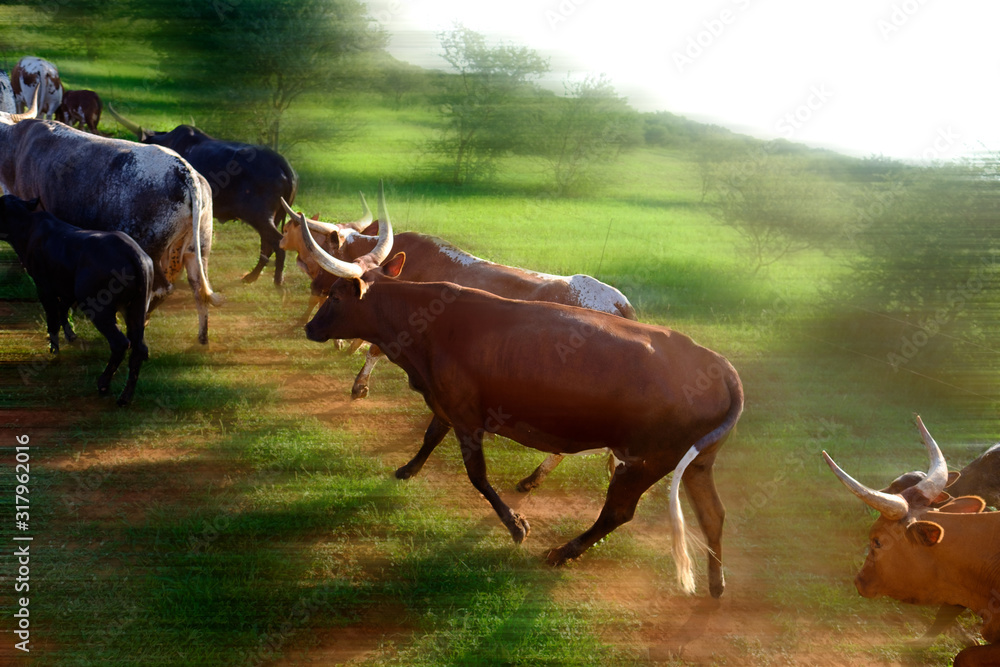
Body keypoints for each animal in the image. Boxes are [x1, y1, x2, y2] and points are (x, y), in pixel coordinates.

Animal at [0, 98, 222, 344]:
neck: (15, 146)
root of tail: (186, 172)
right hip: (198, 247)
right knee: (198, 286)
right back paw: (202, 337)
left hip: (152, 250)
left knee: (162, 289)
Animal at [0, 195, 152, 406]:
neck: (27, 226)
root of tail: (134, 253)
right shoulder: (67, 290)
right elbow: (63, 311)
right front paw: (70, 335)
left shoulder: (44, 287)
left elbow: (52, 319)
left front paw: (54, 350)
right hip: (136, 309)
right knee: (139, 347)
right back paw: (125, 397)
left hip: (99, 309)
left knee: (121, 343)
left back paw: (104, 384)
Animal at [108, 106, 298, 286]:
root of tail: (283, 164)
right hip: (270, 217)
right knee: (268, 245)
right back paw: (253, 276)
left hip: (259, 216)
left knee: (276, 243)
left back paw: (276, 280)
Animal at [299, 184, 744, 597]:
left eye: (336, 295)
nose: (309, 327)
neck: (427, 319)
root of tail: (718, 366)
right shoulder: (446, 404)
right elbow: (430, 437)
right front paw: (407, 469)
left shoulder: (466, 417)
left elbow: (477, 475)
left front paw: (515, 526)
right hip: (697, 464)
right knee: (714, 515)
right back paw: (717, 584)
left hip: (642, 463)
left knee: (619, 511)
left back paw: (563, 551)